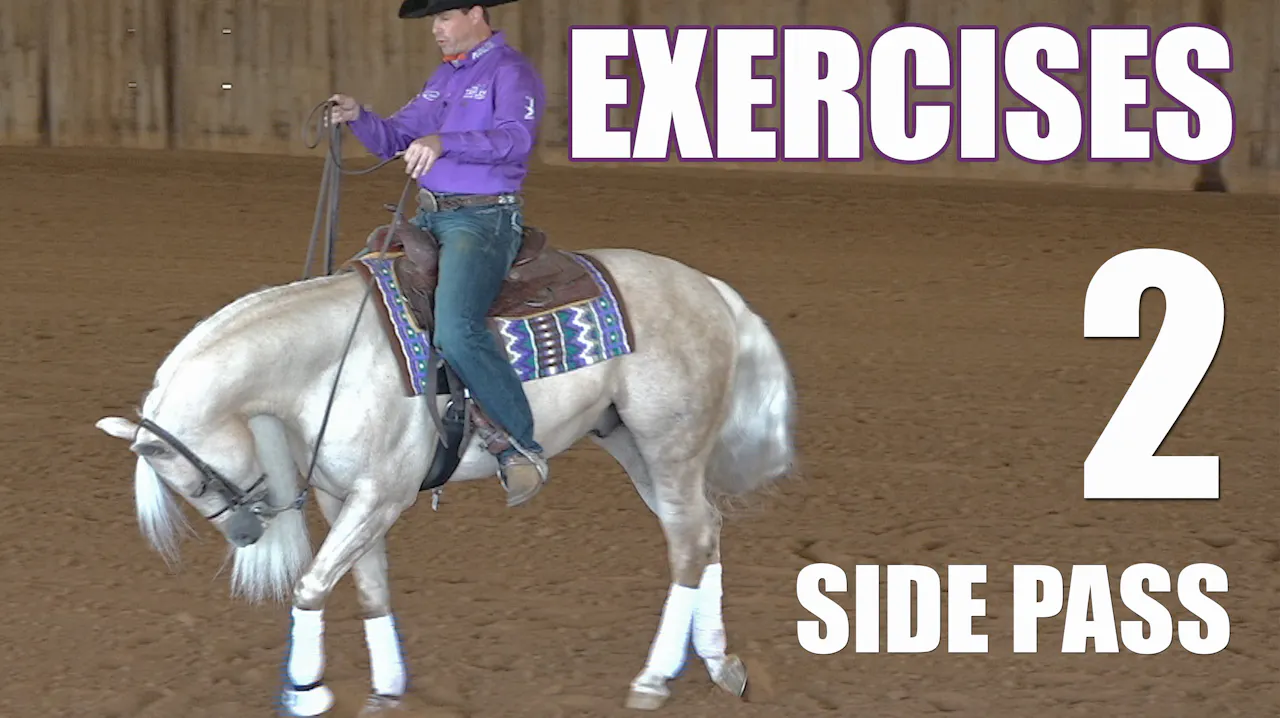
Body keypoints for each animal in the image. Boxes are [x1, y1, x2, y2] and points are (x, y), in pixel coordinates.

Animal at [94, 228, 797, 715]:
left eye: (194, 479)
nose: (246, 534)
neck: (330, 360)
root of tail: (707, 287)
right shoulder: (341, 498)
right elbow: (369, 590)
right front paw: (384, 691)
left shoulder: (381, 497)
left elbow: (312, 586)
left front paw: (306, 693)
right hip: (633, 446)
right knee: (704, 534)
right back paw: (719, 664)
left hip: (669, 445)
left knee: (686, 544)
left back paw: (653, 678)